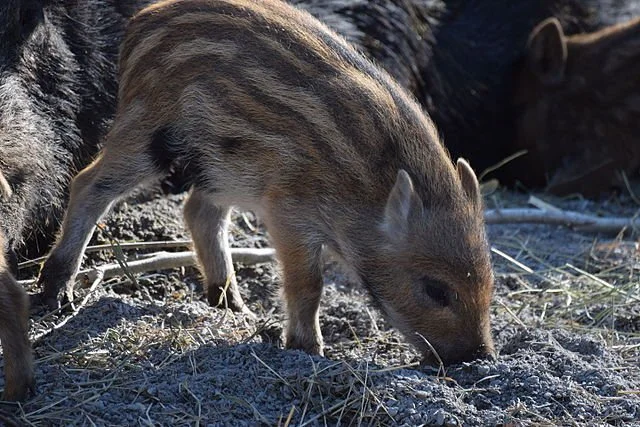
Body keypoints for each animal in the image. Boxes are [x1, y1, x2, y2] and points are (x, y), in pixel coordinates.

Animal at [37, 0, 496, 365]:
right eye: (436, 289)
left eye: (489, 280)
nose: (478, 357)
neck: (368, 185)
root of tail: (139, 23)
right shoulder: (287, 207)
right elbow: (309, 284)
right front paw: (309, 351)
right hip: (148, 131)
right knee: (87, 185)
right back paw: (55, 294)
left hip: (221, 166)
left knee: (198, 211)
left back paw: (233, 307)